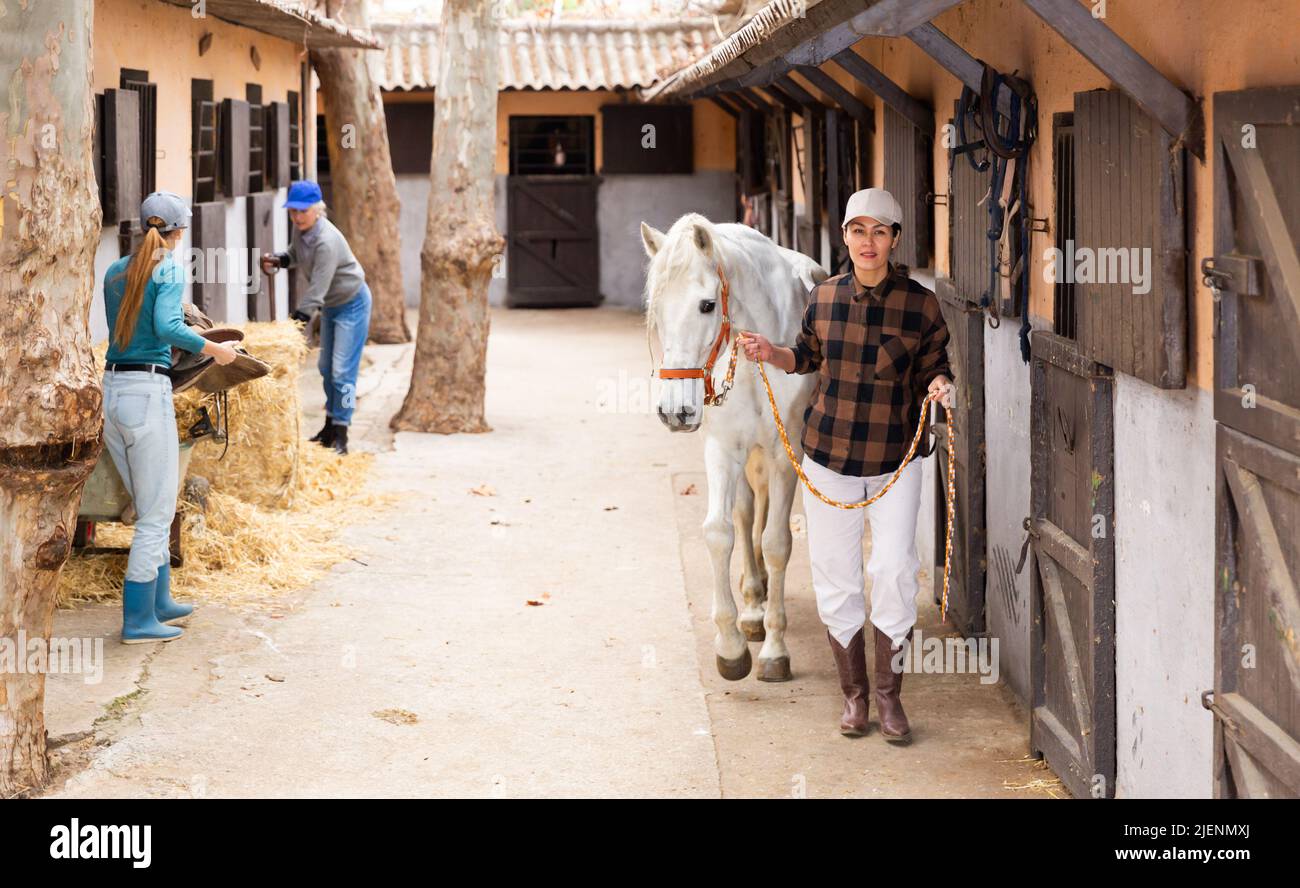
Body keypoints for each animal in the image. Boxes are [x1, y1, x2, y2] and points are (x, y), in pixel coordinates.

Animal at [641, 214, 827, 682]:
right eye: (656, 308)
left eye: (707, 305)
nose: (675, 410)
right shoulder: (723, 450)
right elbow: (719, 532)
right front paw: (730, 645)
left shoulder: (784, 456)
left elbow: (778, 542)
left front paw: (775, 651)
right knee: (745, 515)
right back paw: (752, 604)